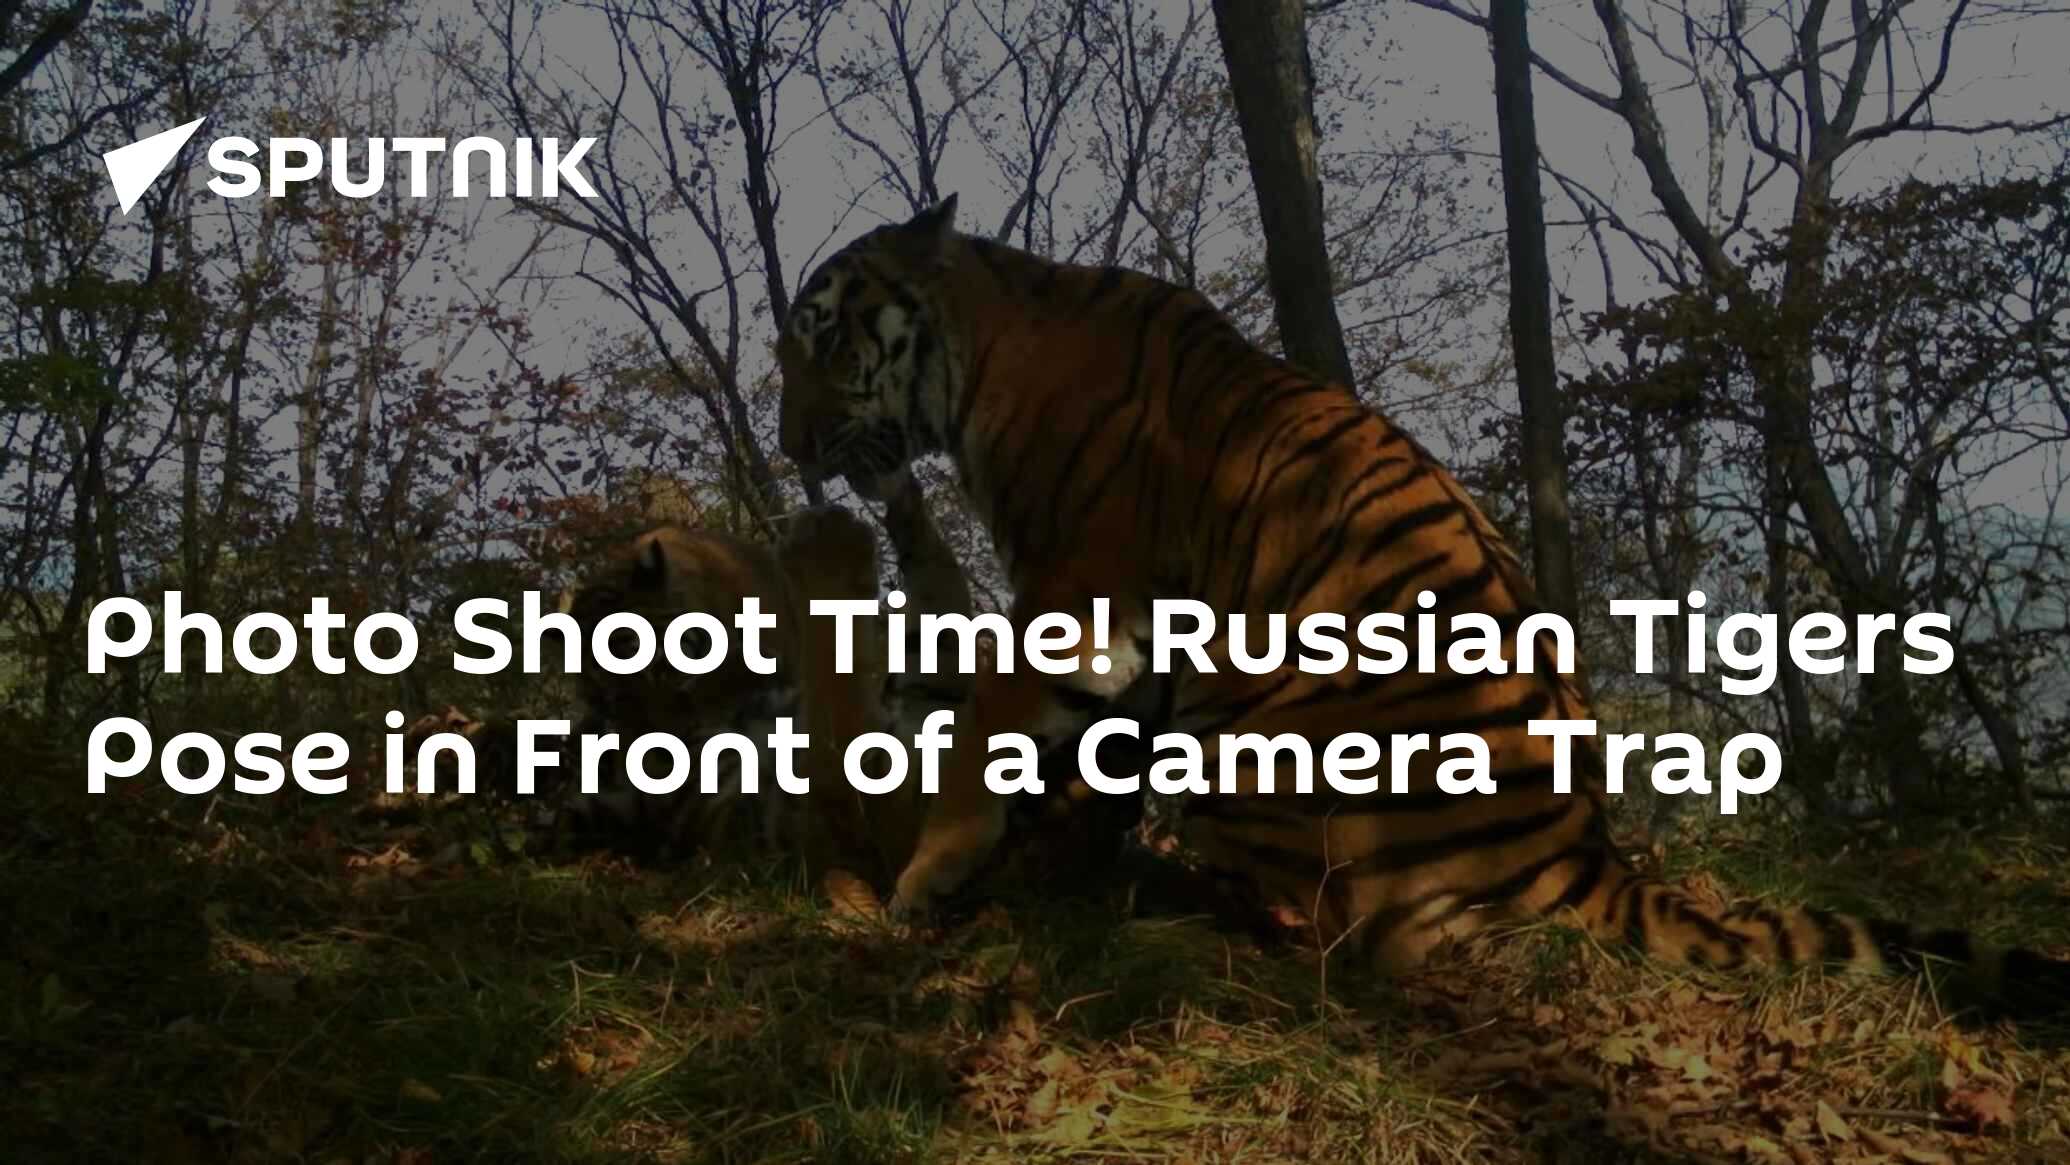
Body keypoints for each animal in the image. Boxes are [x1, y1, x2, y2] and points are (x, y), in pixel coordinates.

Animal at [773, 194, 2070, 1012]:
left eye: (824, 338)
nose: (789, 446)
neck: (976, 352)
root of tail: (1590, 858)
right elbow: (1084, 748)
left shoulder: (1082, 585)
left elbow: (992, 728)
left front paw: (928, 878)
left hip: (1259, 739)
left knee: (1335, 933)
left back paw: (1169, 906)